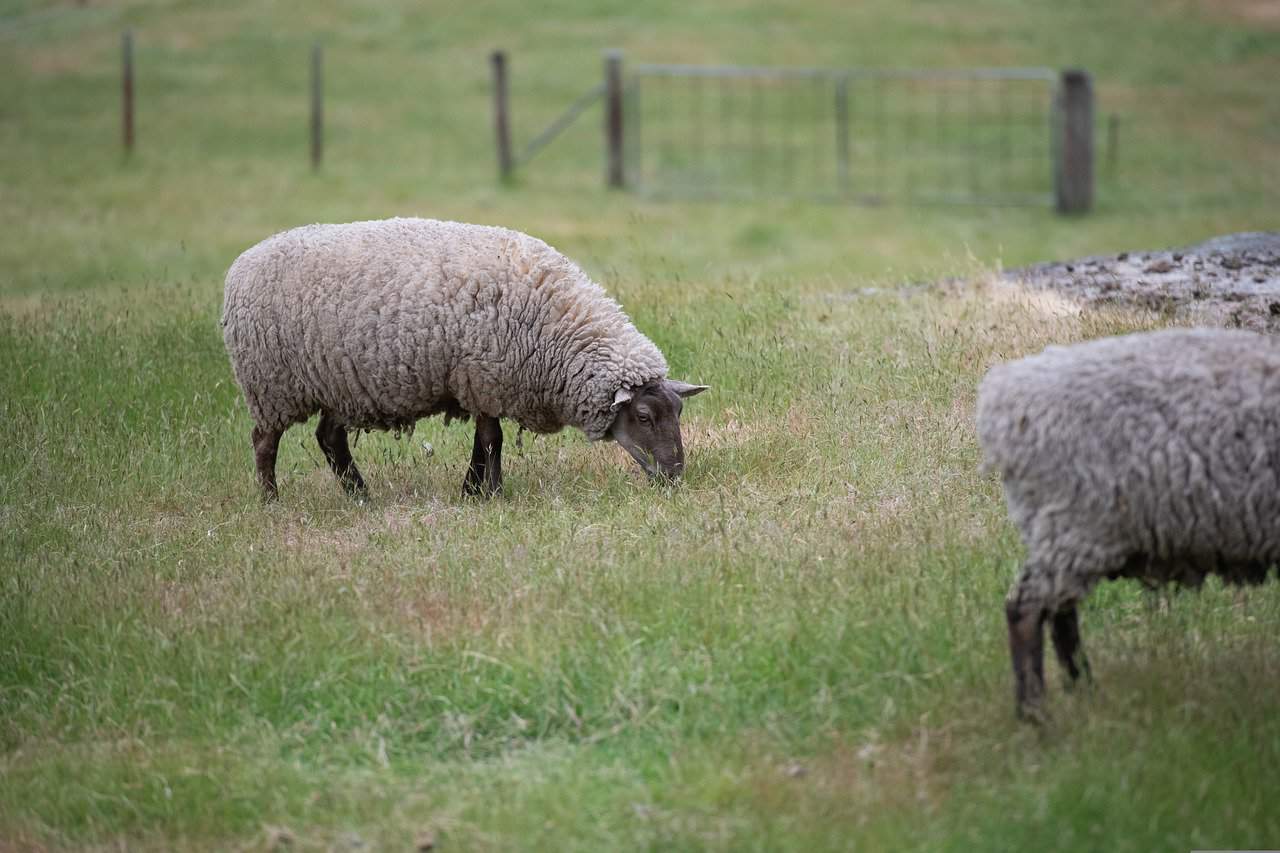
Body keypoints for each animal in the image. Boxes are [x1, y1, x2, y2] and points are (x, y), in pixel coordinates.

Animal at [221, 217, 707, 500]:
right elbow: (492, 440)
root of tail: (242, 263)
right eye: (643, 416)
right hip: (271, 384)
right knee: (264, 443)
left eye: (679, 412)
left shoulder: (483, 382)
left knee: (329, 439)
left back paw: (360, 497)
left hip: (340, 382)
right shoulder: (483, 377)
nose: (674, 478)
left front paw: (476, 490)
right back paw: (271, 501)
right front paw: (487, 493)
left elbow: (485, 439)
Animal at [976, 327, 1280, 719]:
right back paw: (1038, 715)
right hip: (1077, 523)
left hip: (1064, 528)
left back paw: (1083, 692)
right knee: (1026, 610)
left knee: (1059, 611)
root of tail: (1004, 396)